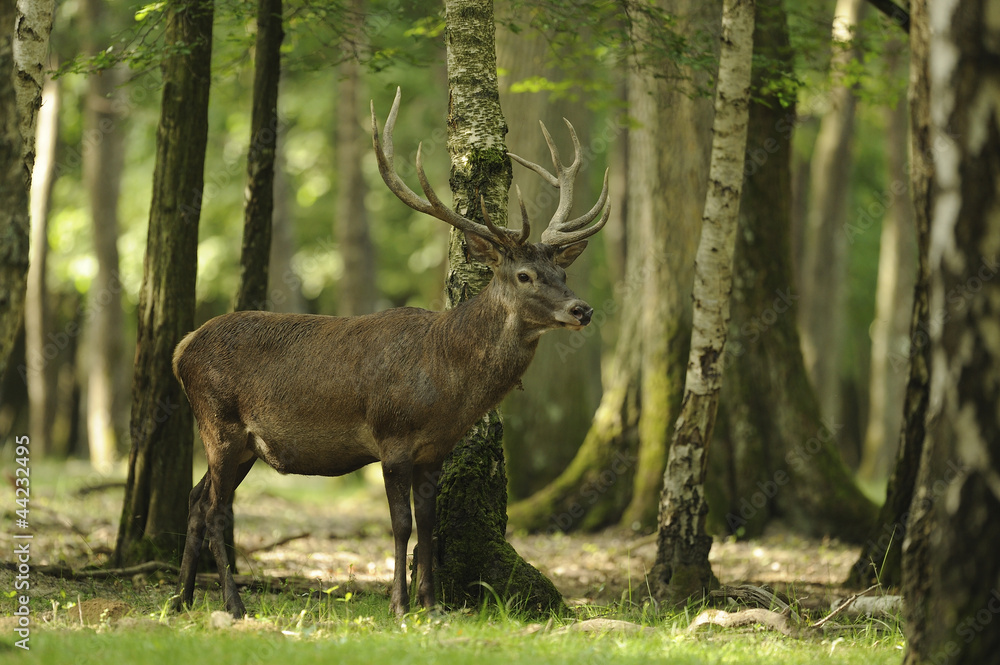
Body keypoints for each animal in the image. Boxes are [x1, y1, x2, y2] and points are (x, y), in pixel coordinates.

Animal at [171, 88, 609, 619]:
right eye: (524, 275)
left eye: (562, 273)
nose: (582, 309)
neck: (446, 387)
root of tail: (180, 350)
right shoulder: (391, 437)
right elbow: (401, 525)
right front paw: (400, 604)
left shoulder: (434, 452)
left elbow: (430, 526)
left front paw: (433, 604)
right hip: (219, 420)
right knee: (216, 508)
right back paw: (232, 604)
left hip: (245, 444)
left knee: (196, 499)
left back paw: (181, 598)